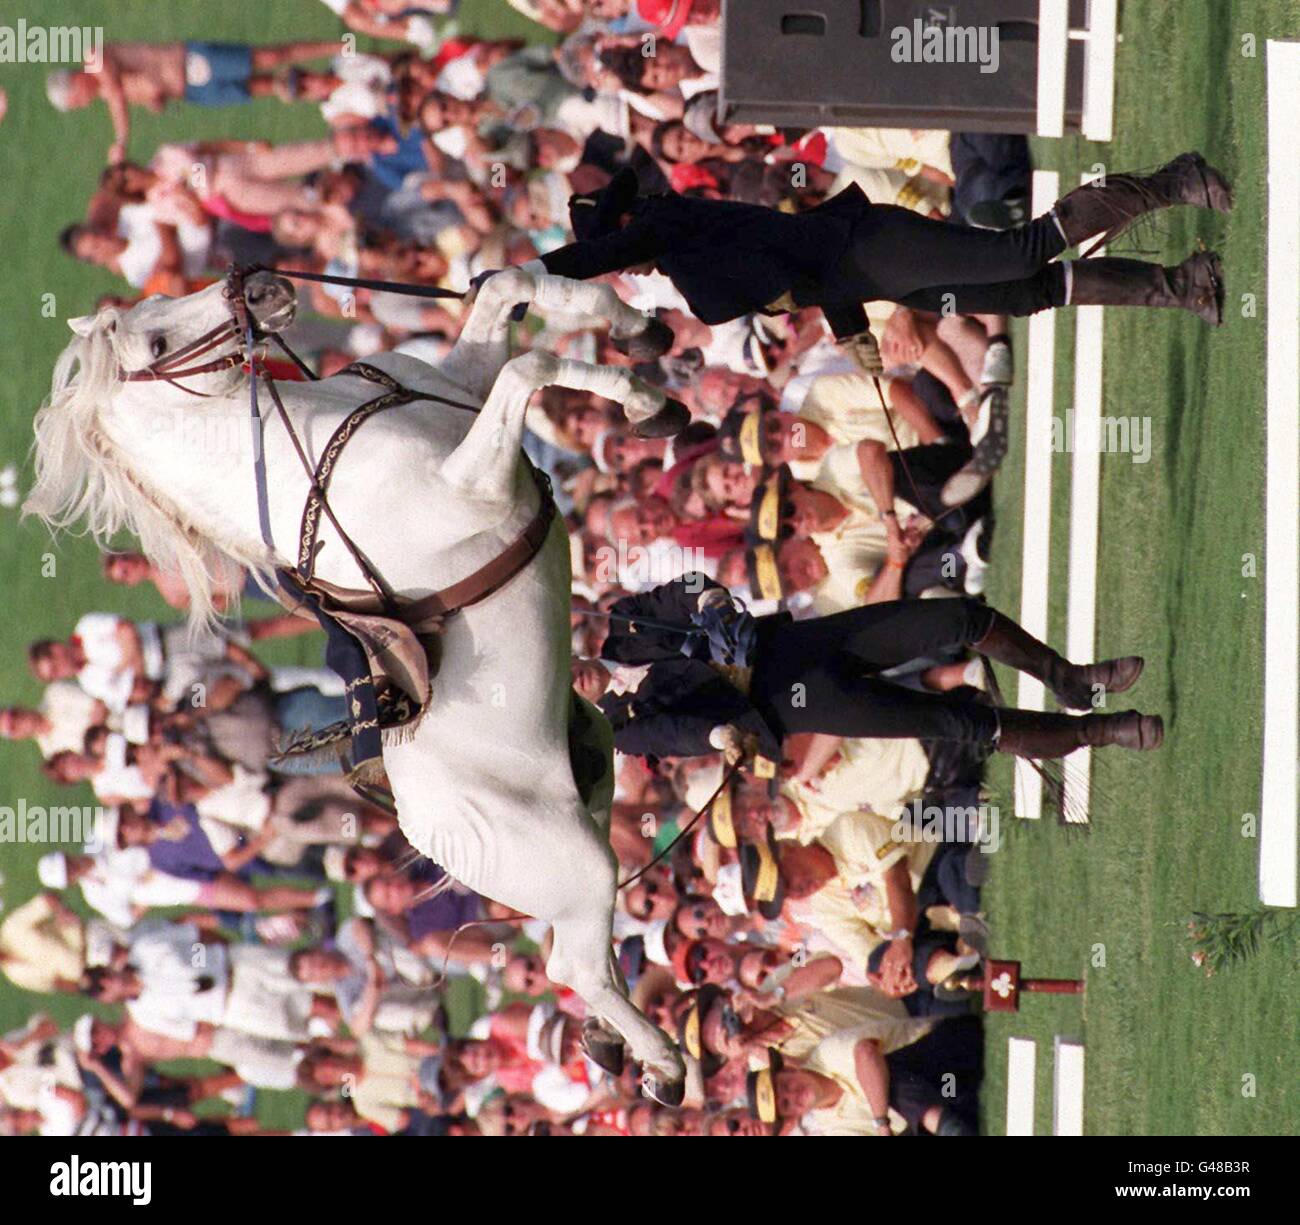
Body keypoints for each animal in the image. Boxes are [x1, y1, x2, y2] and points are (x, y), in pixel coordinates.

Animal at [25, 267, 689, 1102]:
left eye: (163, 304)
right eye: (158, 340)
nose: (261, 286)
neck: (312, 445)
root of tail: (425, 829)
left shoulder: (466, 390)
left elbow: (508, 296)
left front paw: (636, 335)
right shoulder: (477, 482)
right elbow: (528, 368)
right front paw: (644, 399)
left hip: (592, 780)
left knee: (587, 952)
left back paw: (610, 1041)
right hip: (574, 867)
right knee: (574, 959)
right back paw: (663, 1063)